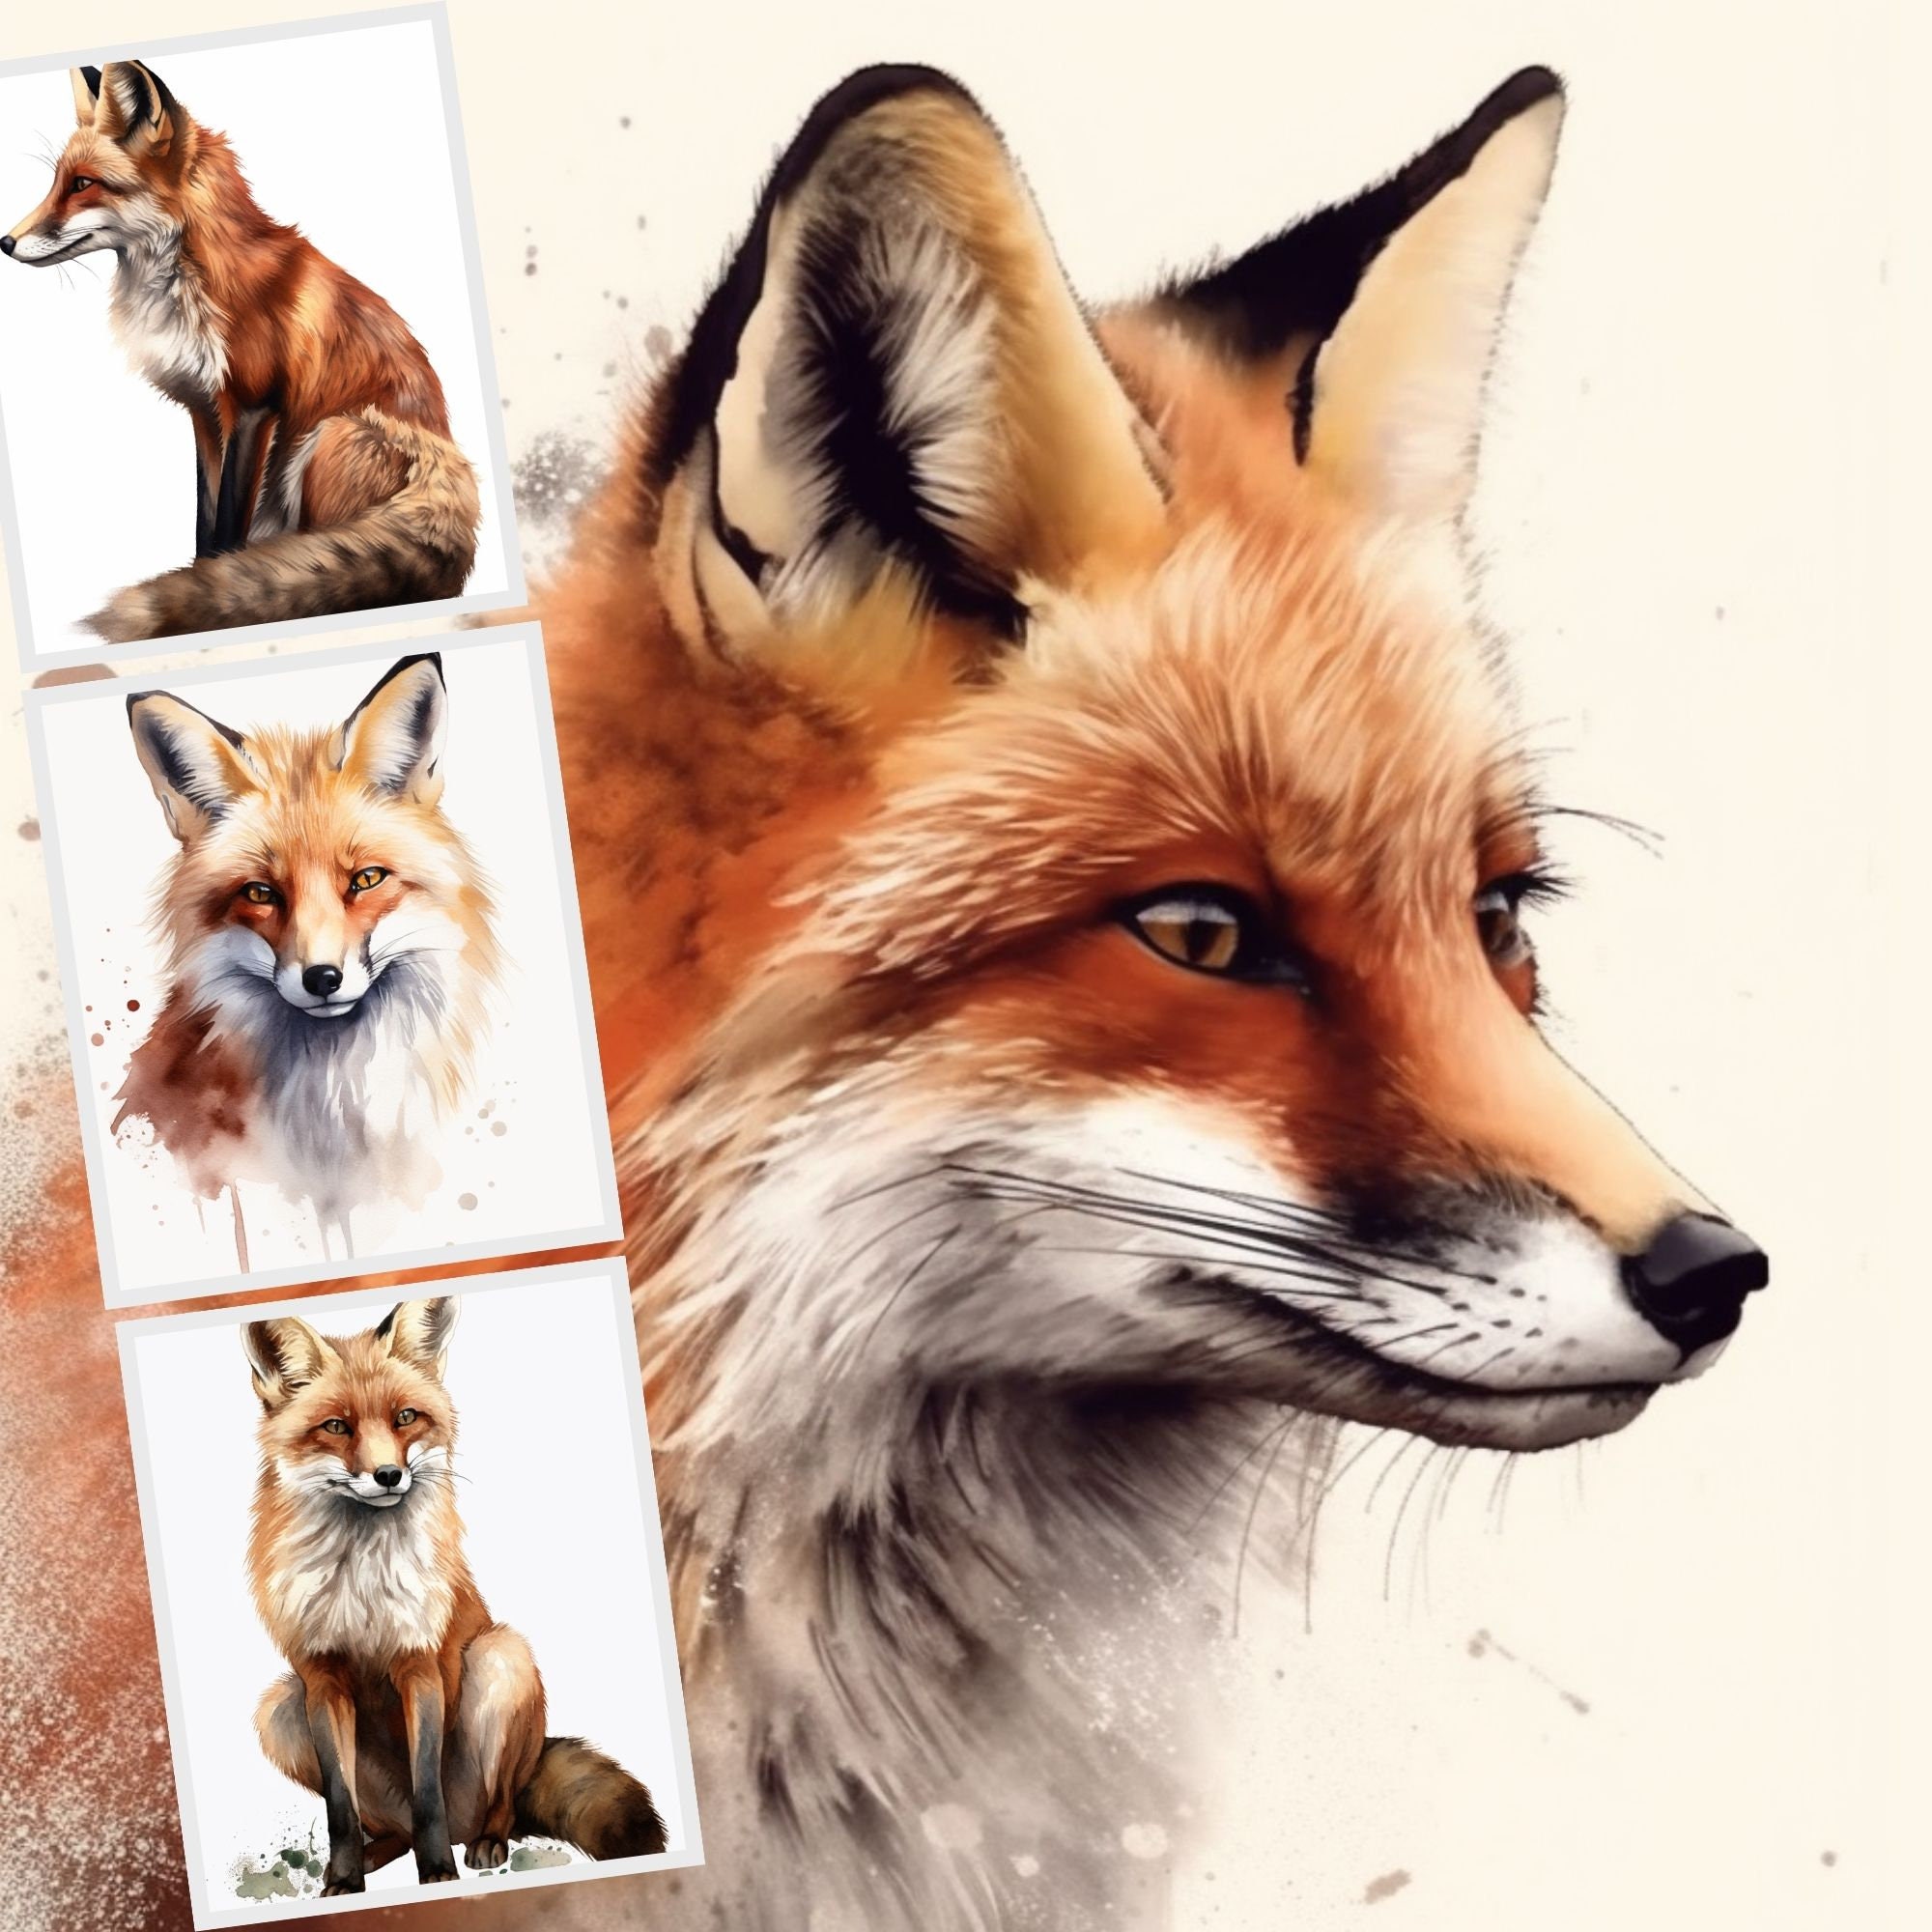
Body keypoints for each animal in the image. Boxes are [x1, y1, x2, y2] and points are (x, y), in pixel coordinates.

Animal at [2, 59, 479, 644]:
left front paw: (215, 599)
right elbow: (206, 523)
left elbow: (228, 524)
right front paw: (204, 587)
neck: (187, 284)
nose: (5, 242)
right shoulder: (206, 414)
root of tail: (451, 463)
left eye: (84, 185)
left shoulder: (253, 408)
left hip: (328, 437)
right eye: (56, 183)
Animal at [244, 1294, 667, 1891]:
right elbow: (340, 1807)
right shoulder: (321, 1677)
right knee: (389, 1826)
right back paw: (374, 1857)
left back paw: (486, 1844)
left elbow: (428, 1793)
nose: (389, 1474)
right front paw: (346, 1882)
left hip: (501, 1657)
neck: (361, 1582)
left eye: (404, 1417)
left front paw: (439, 1873)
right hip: (279, 1708)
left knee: (499, 1806)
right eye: (336, 1426)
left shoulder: (421, 1665)